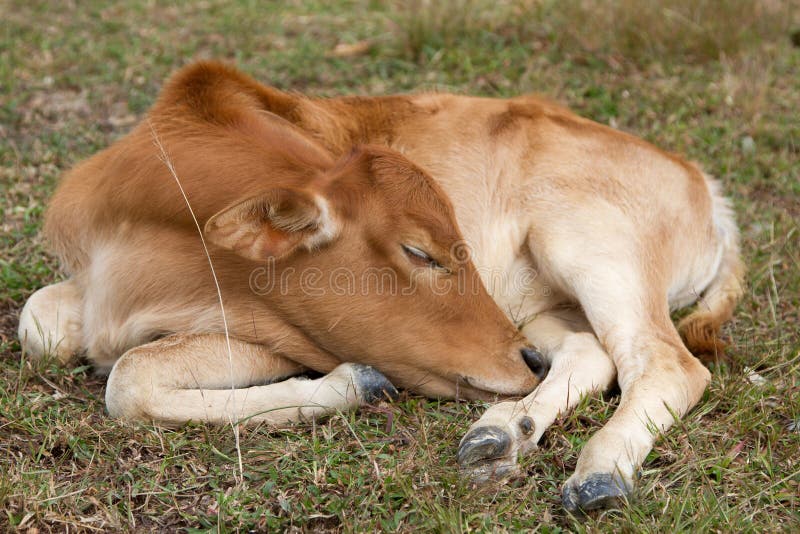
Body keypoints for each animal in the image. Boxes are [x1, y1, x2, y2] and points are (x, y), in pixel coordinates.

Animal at [18, 62, 743, 511]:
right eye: (419, 251)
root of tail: (702, 181)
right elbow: (38, 323)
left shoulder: (277, 331)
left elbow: (129, 377)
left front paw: (354, 383)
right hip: (533, 305)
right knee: (585, 354)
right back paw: (500, 434)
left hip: (590, 247)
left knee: (668, 363)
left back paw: (598, 474)